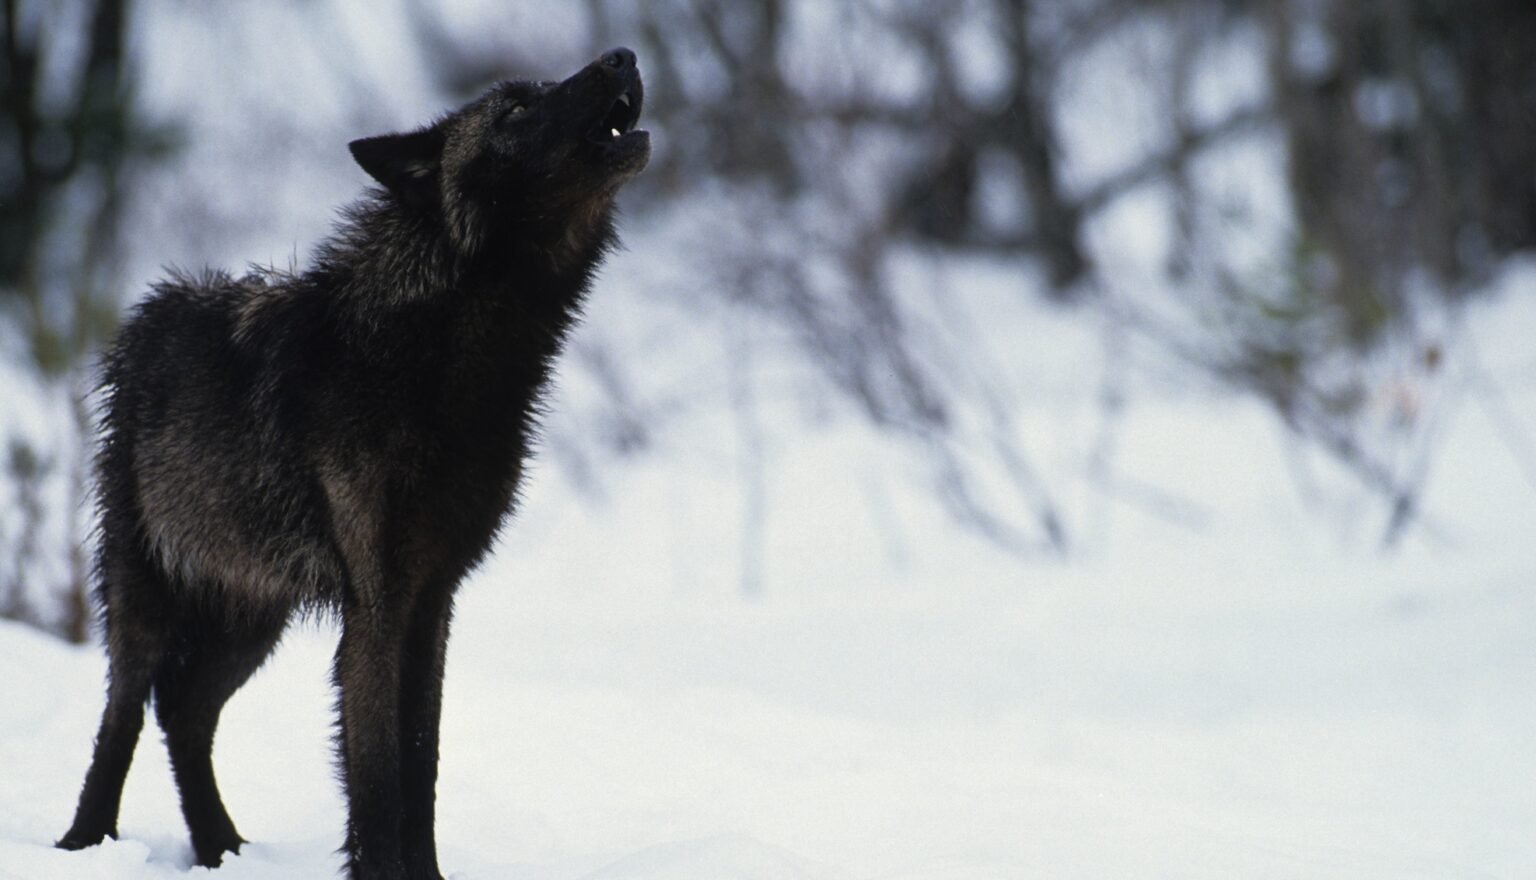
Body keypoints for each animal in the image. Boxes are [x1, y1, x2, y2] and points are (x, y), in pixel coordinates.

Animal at [54, 48, 649, 880]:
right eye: (514, 112)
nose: (623, 55)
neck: (441, 365)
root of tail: (145, 315)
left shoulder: (434, 600)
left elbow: (421, 766)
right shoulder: (378, 604)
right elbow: (375, 779)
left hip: (253, 612)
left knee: (184, 709)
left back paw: (220, 848)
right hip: (145, 599)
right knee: (125, 714)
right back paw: (84, 843)